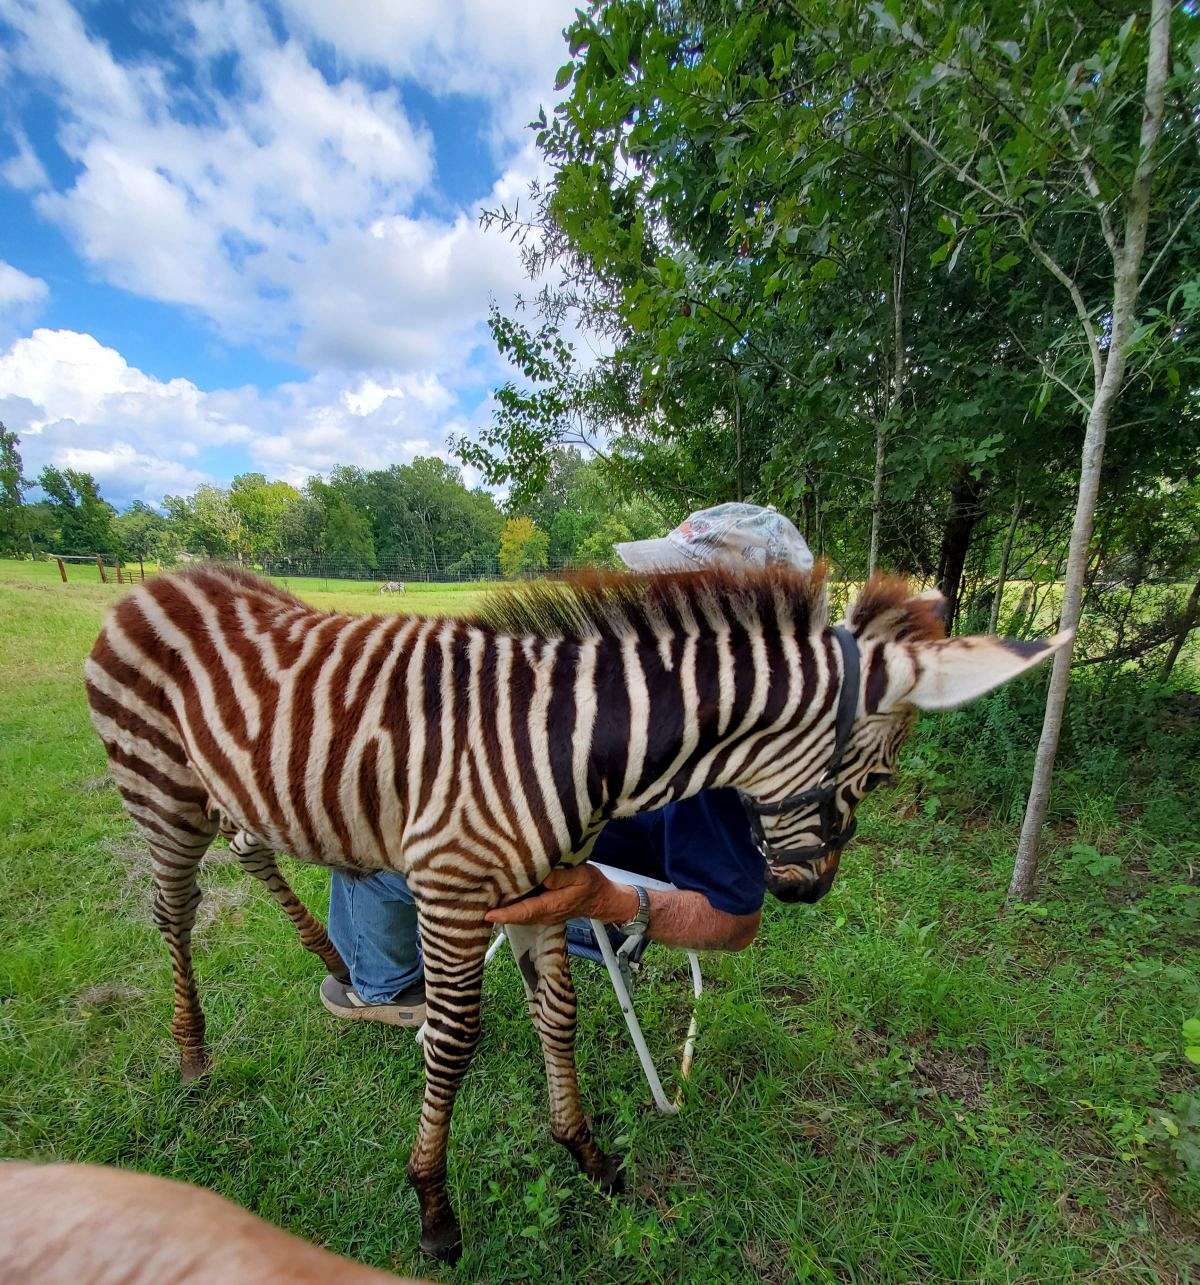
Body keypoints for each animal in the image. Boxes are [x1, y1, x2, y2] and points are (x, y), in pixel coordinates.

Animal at [83, 563, 1066, 1261]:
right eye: (884, 775)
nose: (809, 890)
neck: (577, 746)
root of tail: (167, 575)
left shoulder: (546, 889)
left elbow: (558, 1015)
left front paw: (586, 1154)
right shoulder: (450, 888)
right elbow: (455, 1041)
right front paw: (434, 1204)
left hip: (232, 784)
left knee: (250, 848)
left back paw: (333, 970)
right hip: (159, 788)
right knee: (175, 909)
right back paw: (192, 1052)